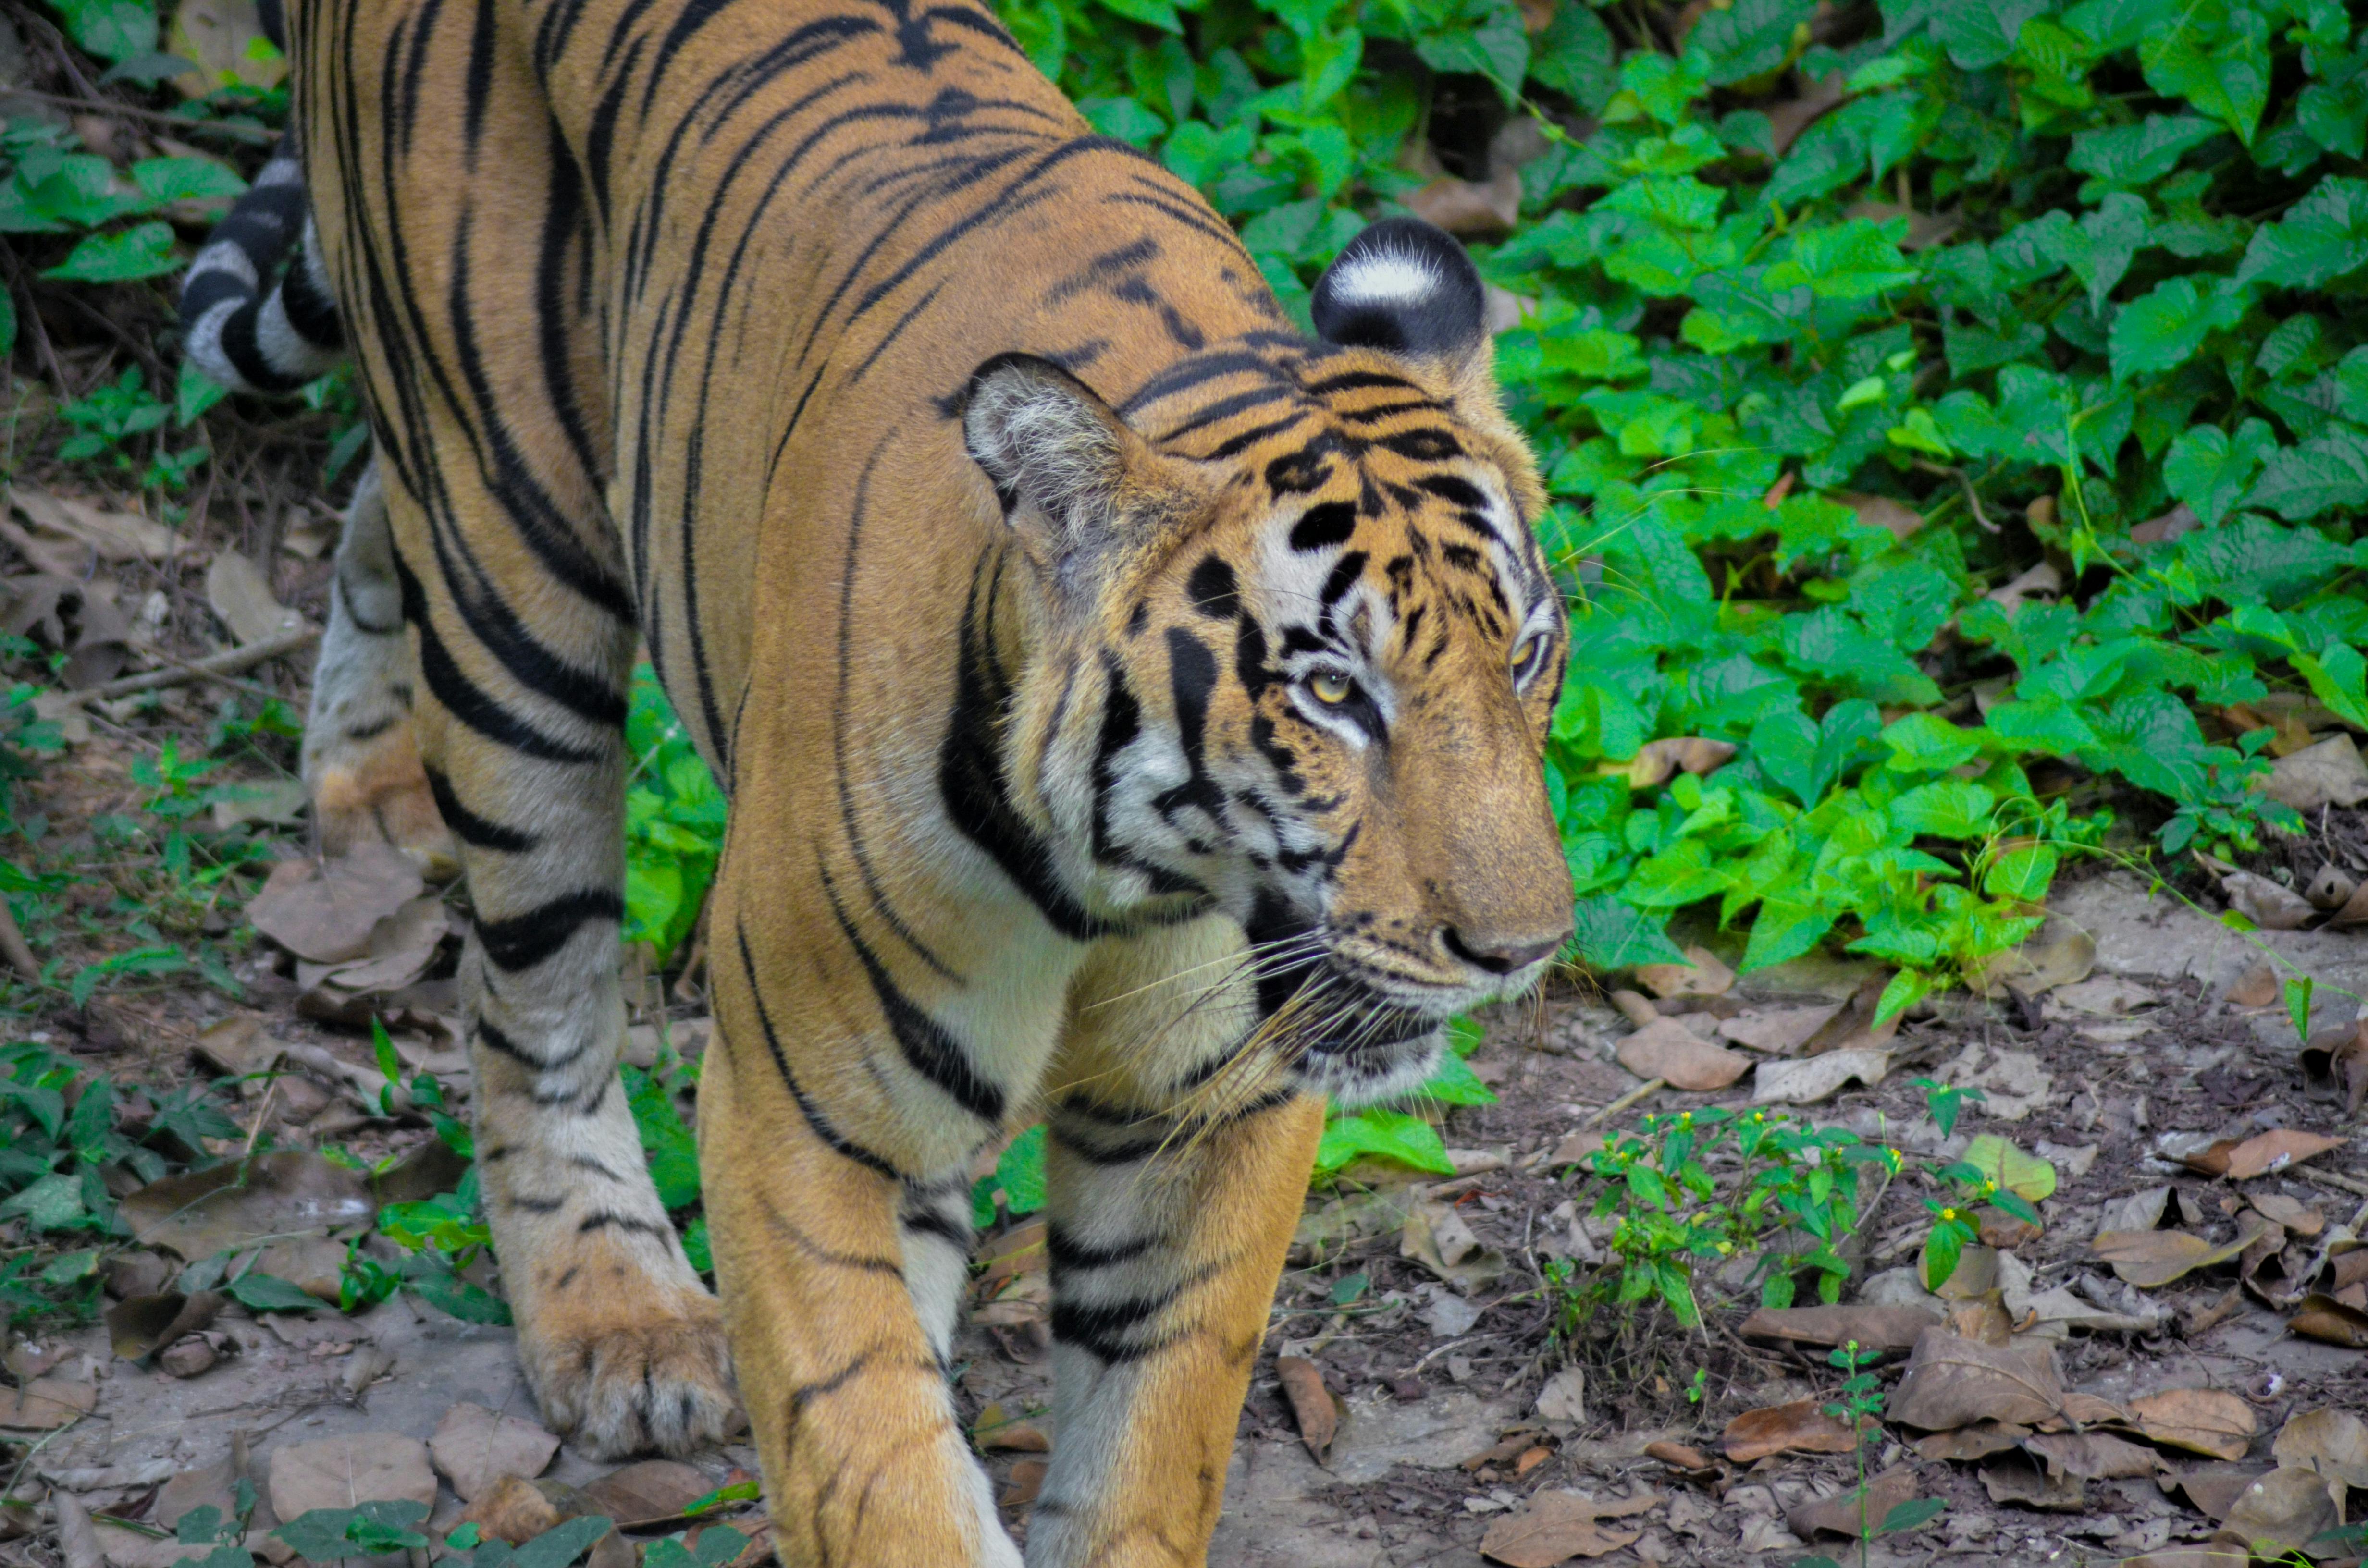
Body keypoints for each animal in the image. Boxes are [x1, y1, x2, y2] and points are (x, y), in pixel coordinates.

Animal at [177, 0, 1575, 1555]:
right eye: (1333, 692)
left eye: (1525, 652)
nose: (1524, 948)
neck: (1127, 891)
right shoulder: (814, 1115)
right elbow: (875, 1460)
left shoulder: (1207, 1113)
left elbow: (1152, 1430)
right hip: (515, 587)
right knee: (528, 994)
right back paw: (622, 1322)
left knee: (379, 503)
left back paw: (366, 797)